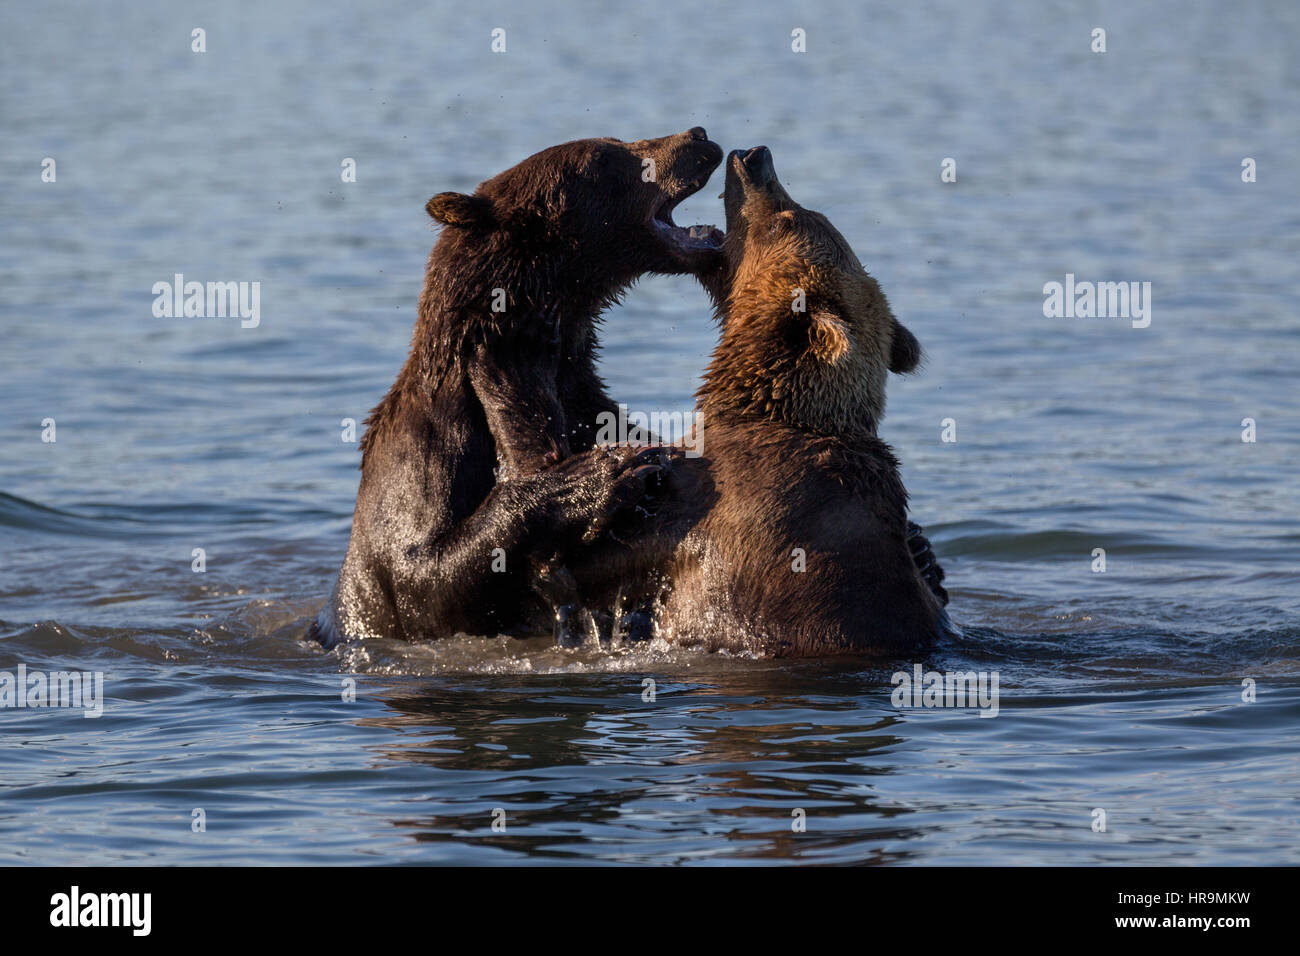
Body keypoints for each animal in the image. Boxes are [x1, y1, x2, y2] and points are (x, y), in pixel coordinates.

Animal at [310, 128, 725, 646]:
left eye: (615, 141)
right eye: (603, 156)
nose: (698, 137)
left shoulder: (583, 397)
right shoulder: (419, 469)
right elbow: (424, 578)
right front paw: (600, 474)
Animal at [557, 145, 953, 656]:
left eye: (788, 218)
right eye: (809, 211)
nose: (754, 156)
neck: (761, 404)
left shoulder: (717, 497)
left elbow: (621, 550)